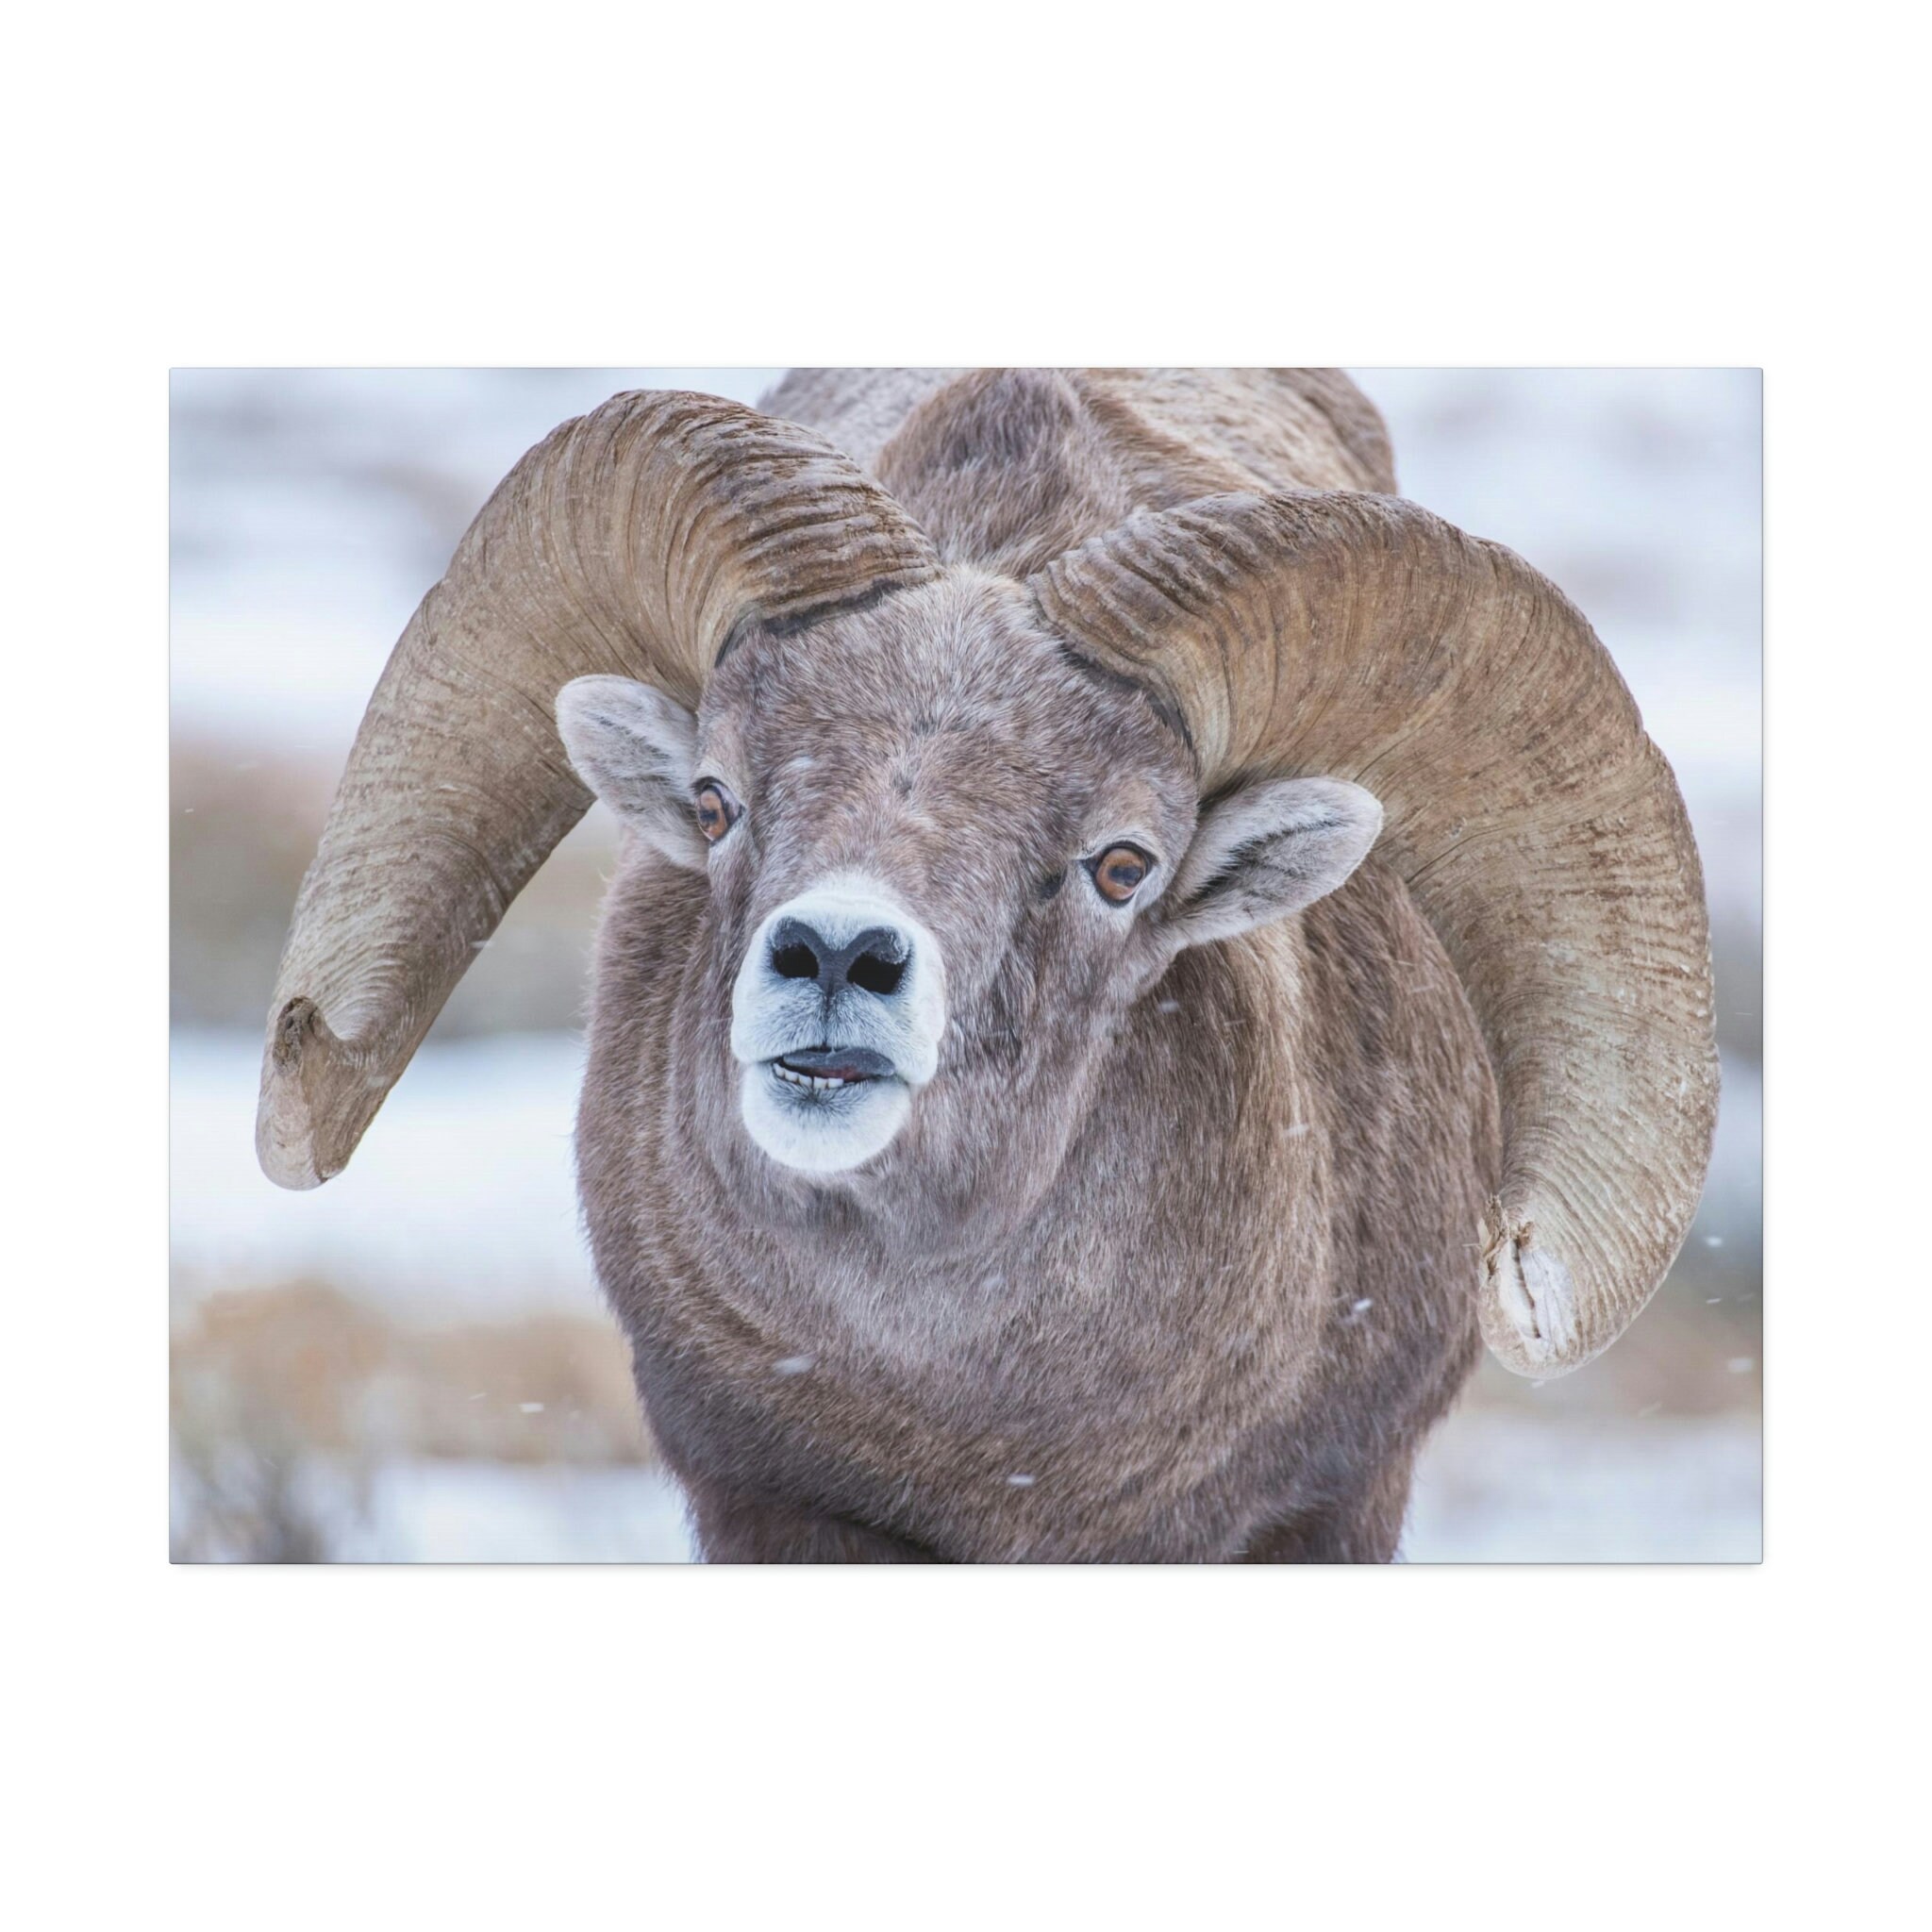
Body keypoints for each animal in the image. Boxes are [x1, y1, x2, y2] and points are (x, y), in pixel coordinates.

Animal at [257, 369, 1718, 1561]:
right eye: (719, 800)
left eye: (1123, 863)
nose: (835, 955)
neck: (992, 1439)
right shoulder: (775, 1508)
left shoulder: (1326, 1508)